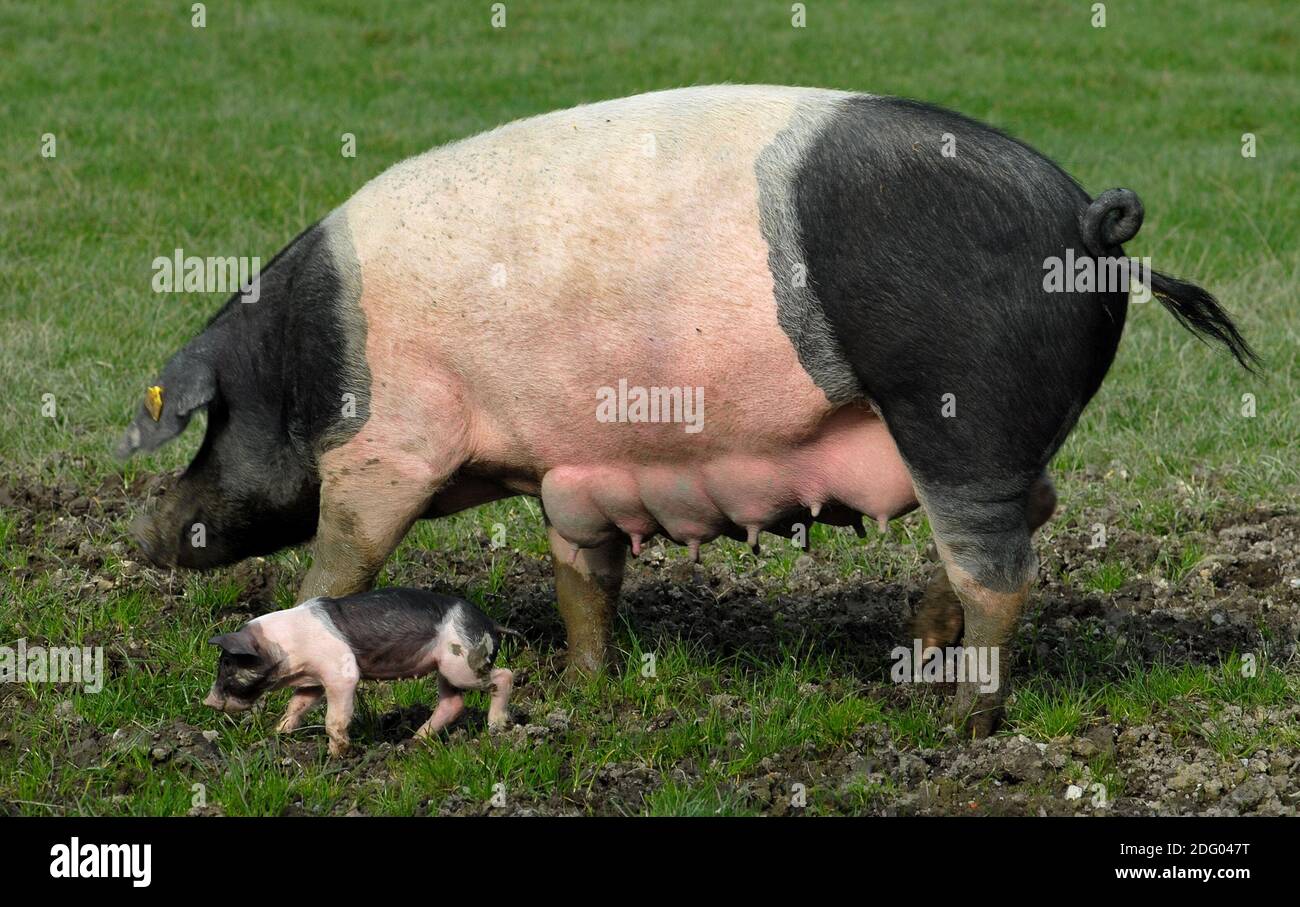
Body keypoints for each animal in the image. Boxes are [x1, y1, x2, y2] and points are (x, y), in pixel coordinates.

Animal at [122, 85, 1257, 737]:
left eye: (209, 425)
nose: (141, 532)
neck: (305, 361)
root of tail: (1093, 224)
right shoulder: (572, 471)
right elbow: (583, 574)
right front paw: (582, 684)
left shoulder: (387, 446)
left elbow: (342, 560)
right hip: (994, 435)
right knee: (1030, 515)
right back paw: (916, 659)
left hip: (958, 416)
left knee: (1000, 568)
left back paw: (958, 723)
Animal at [203, 587, 516, 755]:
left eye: (228, 664)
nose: (208, 701)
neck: (288, 650)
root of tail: (490, 622)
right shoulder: (313, 680)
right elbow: (297, 704)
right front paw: (277, 734)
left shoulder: (340, 671)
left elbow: (334, 718)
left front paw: (337, 754)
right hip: (445, 668)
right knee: (452, 703)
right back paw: (415, 740)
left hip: (462, 665)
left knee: (504, 676)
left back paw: (496, 726)